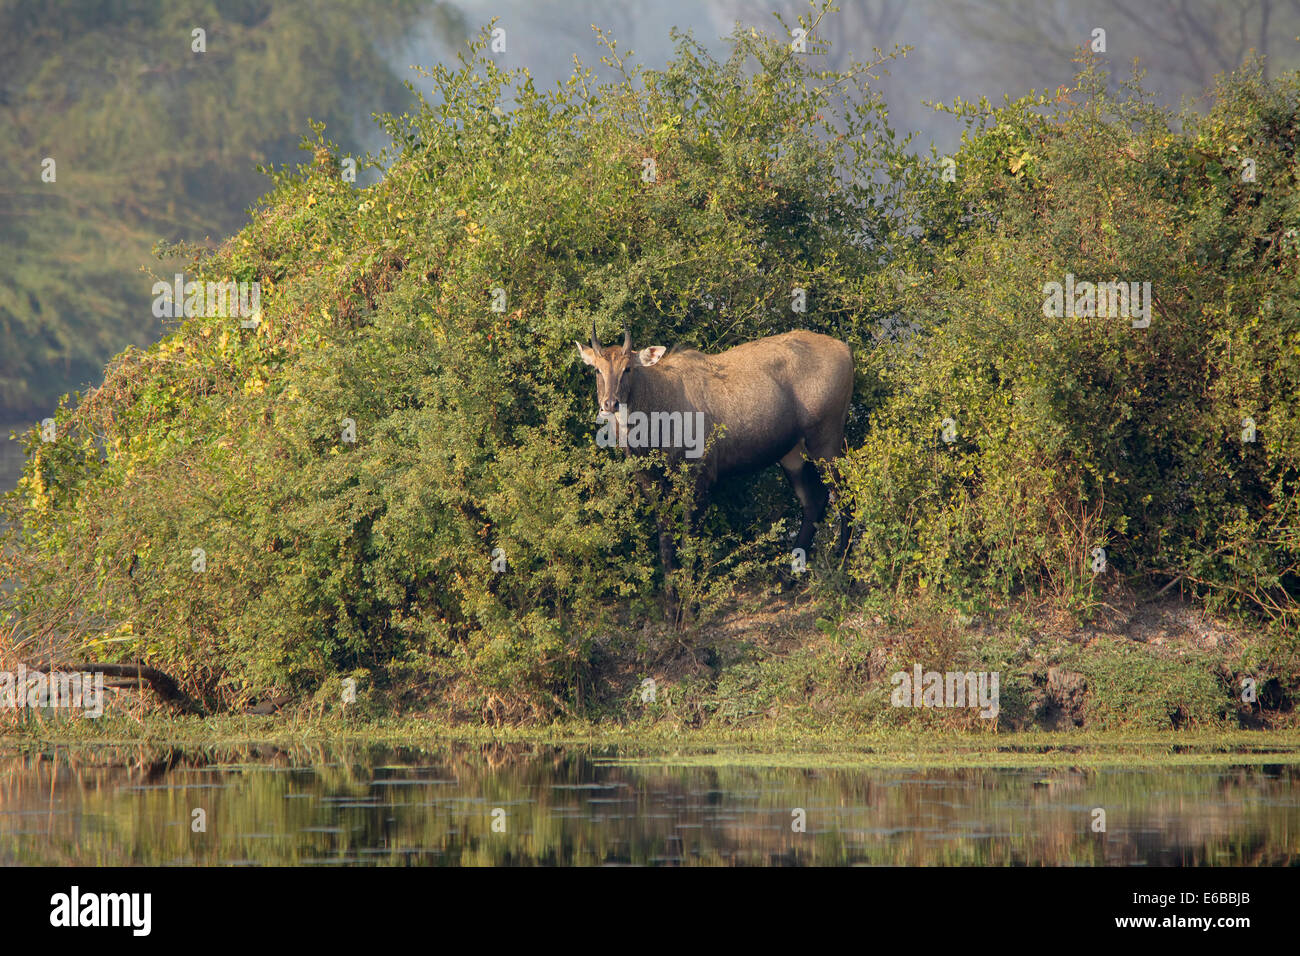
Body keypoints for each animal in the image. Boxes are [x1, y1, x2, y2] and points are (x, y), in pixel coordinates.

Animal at [576, 326, 854, 580]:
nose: (610, 403)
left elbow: (689, 541)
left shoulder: (700, 477)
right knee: (814, 500)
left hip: (825, 441)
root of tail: (846, 350)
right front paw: (672, 599)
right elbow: (666, 543)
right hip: (793, 453)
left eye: (628, 368)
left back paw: (843, 566)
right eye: (597, 369)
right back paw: (790, 577)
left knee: (845, 495)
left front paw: (689, 595)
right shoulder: (652, 483)